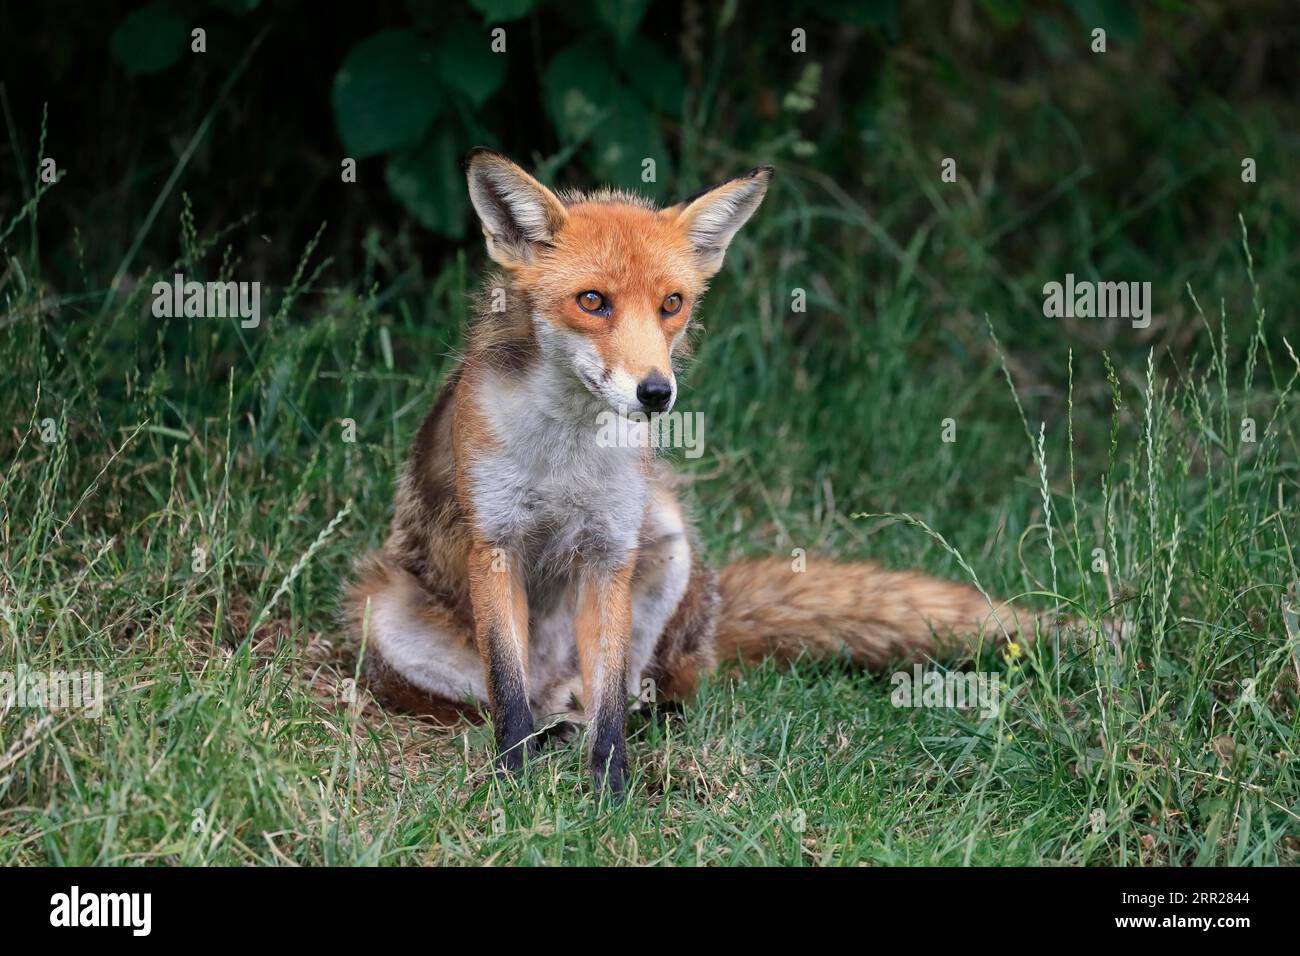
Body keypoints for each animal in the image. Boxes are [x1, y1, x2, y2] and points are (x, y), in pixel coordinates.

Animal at [347, 148, 1037, 793]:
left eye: (671, 304)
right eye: (592, 301)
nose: (656, 393)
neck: (567, 455)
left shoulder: (610, 550)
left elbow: (609, 705)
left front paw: (611, 792)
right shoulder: (494, 546)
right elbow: (508, 692)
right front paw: (512, 784)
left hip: (668, 545)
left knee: (627, 690)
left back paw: (636, 721)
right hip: (385, 617)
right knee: (521, 701)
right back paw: (544, 736)